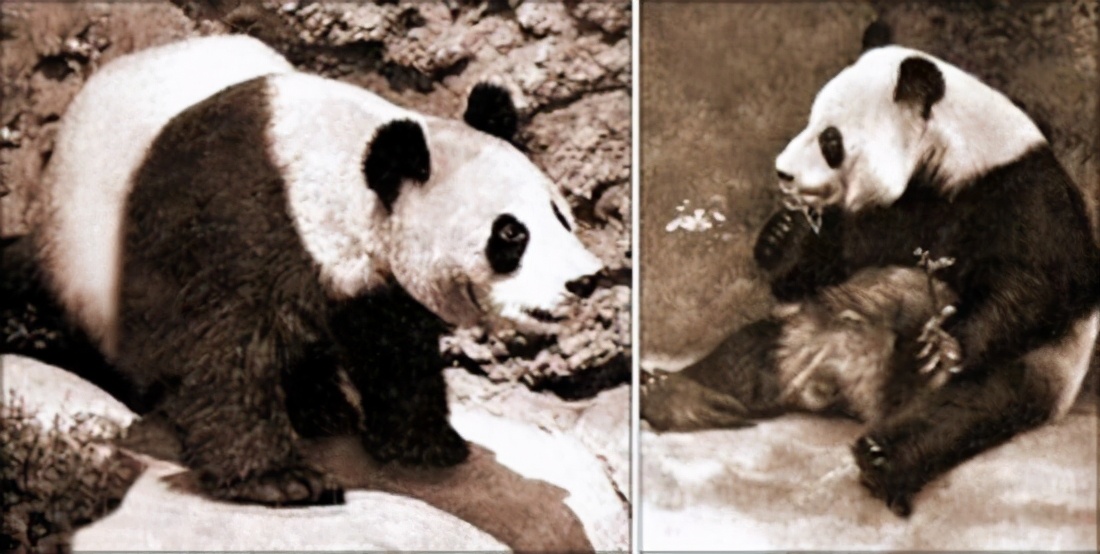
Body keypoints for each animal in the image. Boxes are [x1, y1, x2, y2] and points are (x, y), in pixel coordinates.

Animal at [25, 35, 604, 506]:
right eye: (510, 234)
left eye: (560, 215)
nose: (585, 280)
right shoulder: (239, 225)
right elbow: (223, 349)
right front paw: (281, 482)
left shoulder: (368, 278)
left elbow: (394, 346)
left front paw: (425, 442)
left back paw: (322, 408)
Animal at [644, 24, 1100, 517]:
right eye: (809, 122)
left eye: (830, 140)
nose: (783, 173)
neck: (950, 155)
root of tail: (851, 392)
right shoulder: (882, 215)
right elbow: (821, 266)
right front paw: (781, 235)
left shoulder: (1019, 193)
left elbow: (1041, 283)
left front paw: (942, 342)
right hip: (809, 326)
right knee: (748, 353)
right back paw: (677, 395)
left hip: (1029, 371)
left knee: (963, 408)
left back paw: (883, 457)